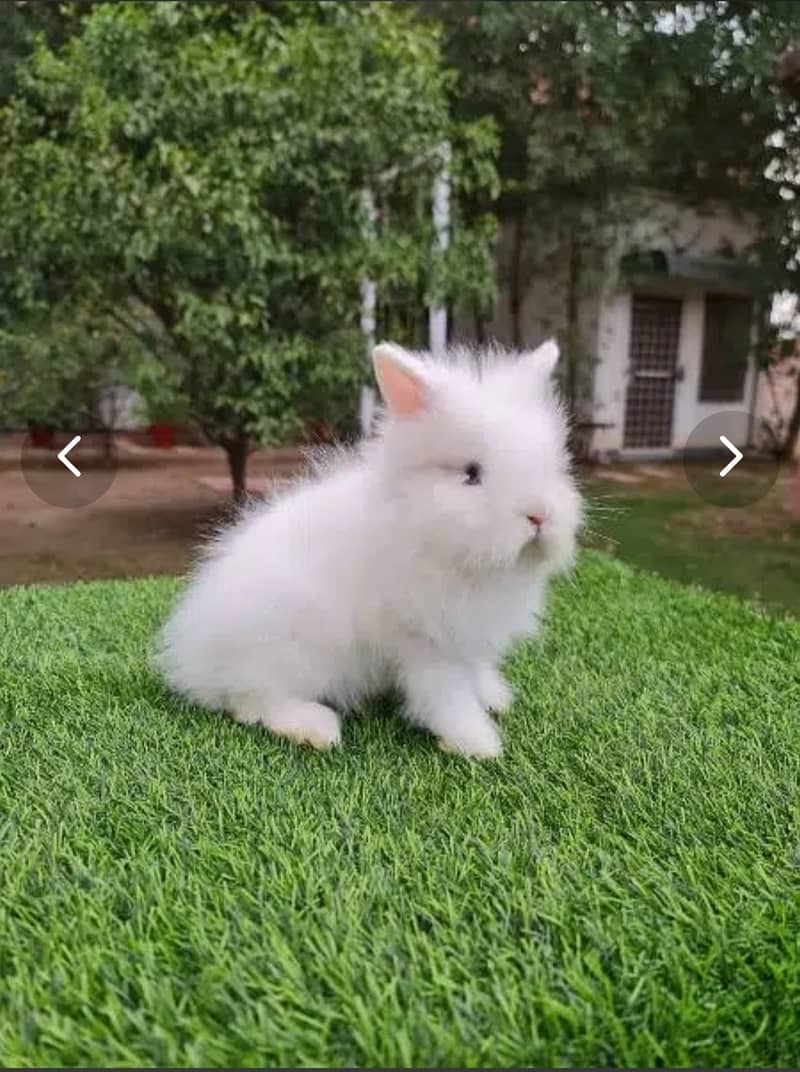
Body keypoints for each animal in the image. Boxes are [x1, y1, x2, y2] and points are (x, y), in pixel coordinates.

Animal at [156, 339, 583, 758]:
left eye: (552, 465)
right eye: (471, 474)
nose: (538, 515)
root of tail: (194, 660)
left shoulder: (468, 638)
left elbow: (475, 673)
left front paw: (494, 697)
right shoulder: (426, 642)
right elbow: (448, 697)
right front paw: (478, 744)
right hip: (292, 652)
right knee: (253, 702)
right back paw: (315, 728)